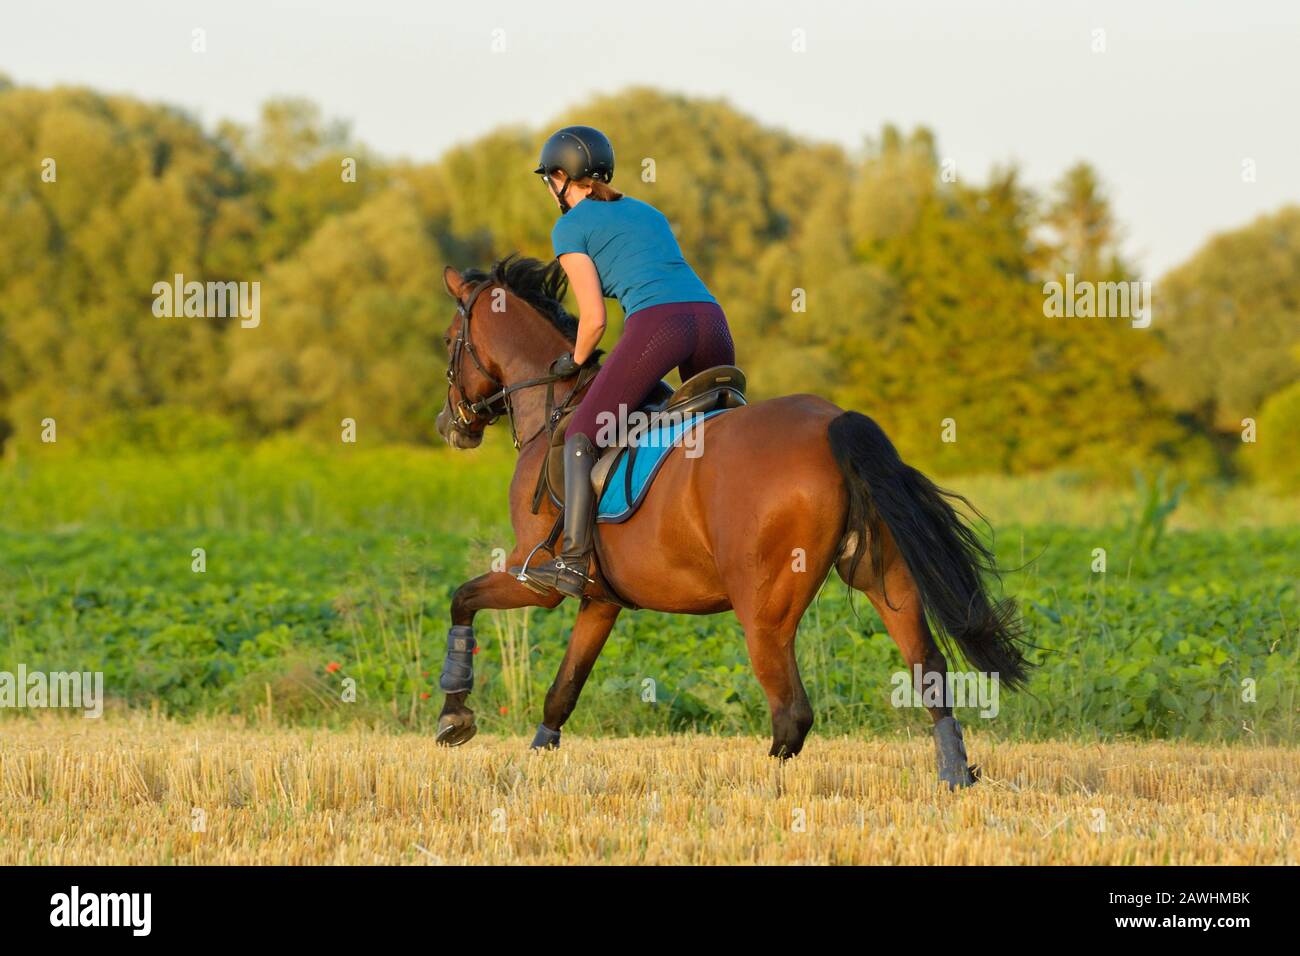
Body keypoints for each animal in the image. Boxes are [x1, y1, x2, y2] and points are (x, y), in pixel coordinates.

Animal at [434, 254, 1031, 788]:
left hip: (764, 613)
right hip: (886, 579)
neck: (551, 404)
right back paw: (955, 775)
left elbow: (463, 598)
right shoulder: (600, 601)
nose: (449, 424)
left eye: (447, 340)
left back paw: (757, 788)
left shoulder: (532, 578)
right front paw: (535, 759)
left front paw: (453, 716)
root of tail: (833, 422)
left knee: (792, 713)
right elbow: (563, 689)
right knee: (929, 671)